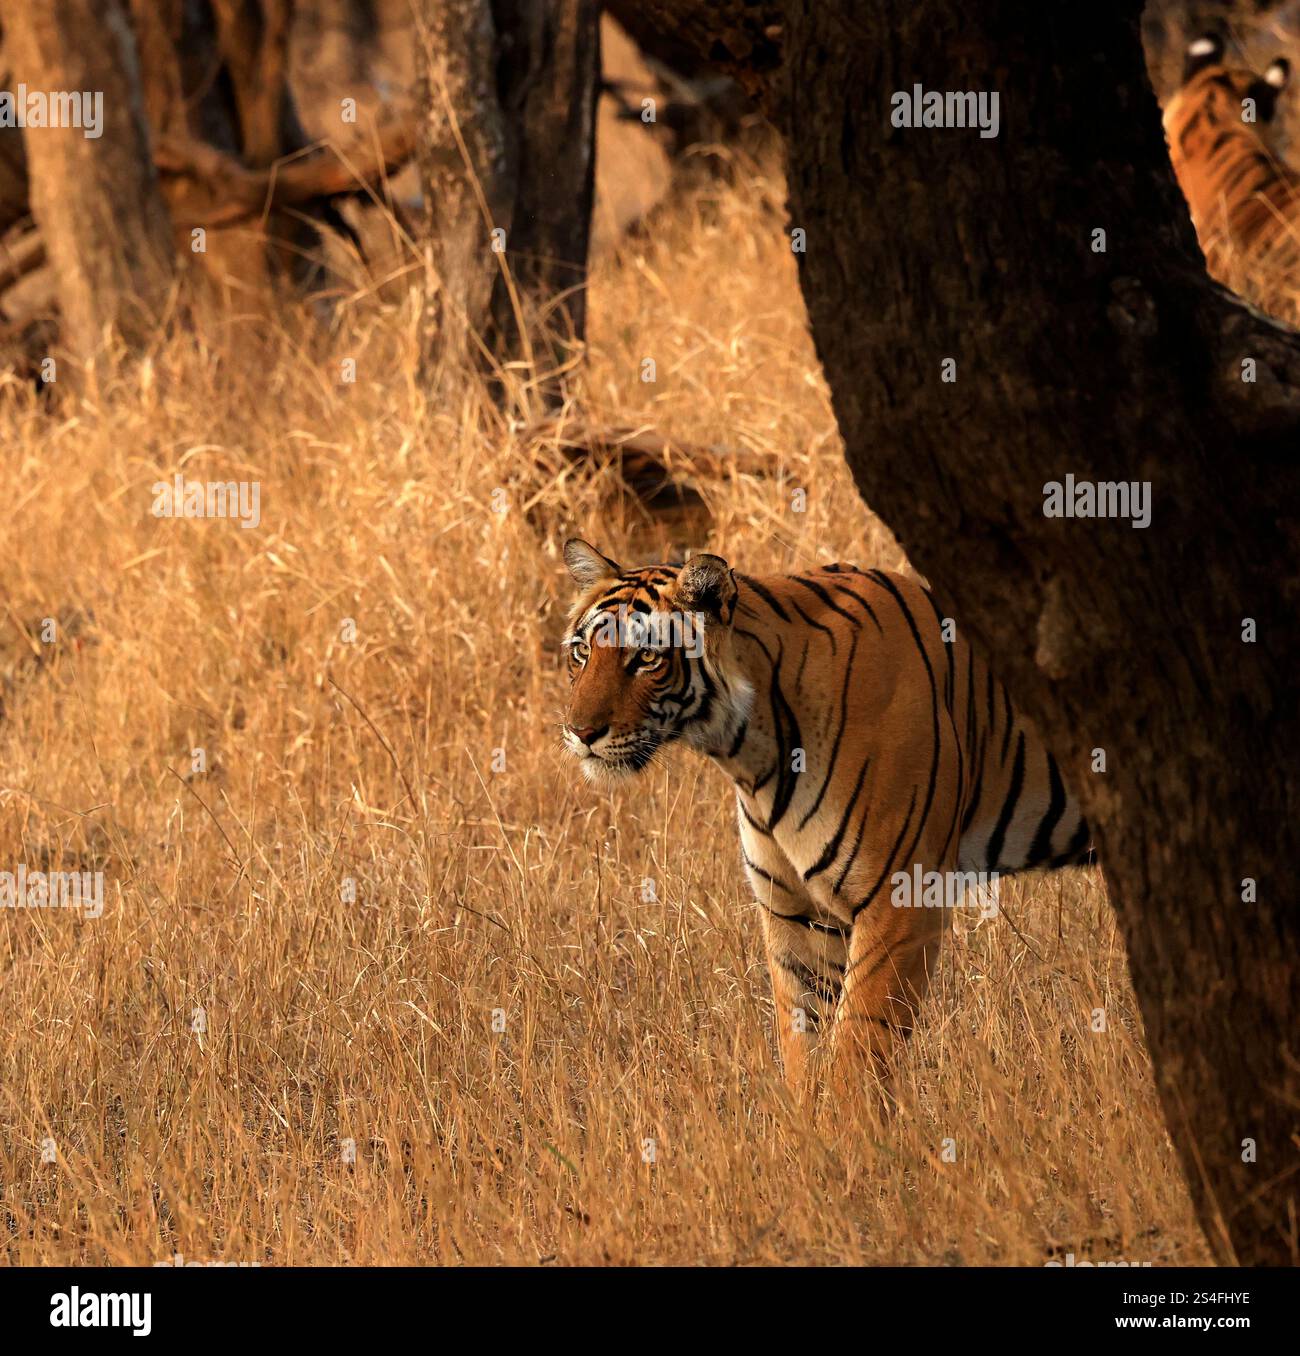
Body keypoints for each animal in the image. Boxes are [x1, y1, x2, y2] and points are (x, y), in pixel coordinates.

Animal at [560, 539, 1094, 1098]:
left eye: (645, 658)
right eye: (581, 652)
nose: (580, 732)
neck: (750, 754)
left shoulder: (901, 901)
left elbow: (857, 1057)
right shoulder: (795, 911)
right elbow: (801, 1047)